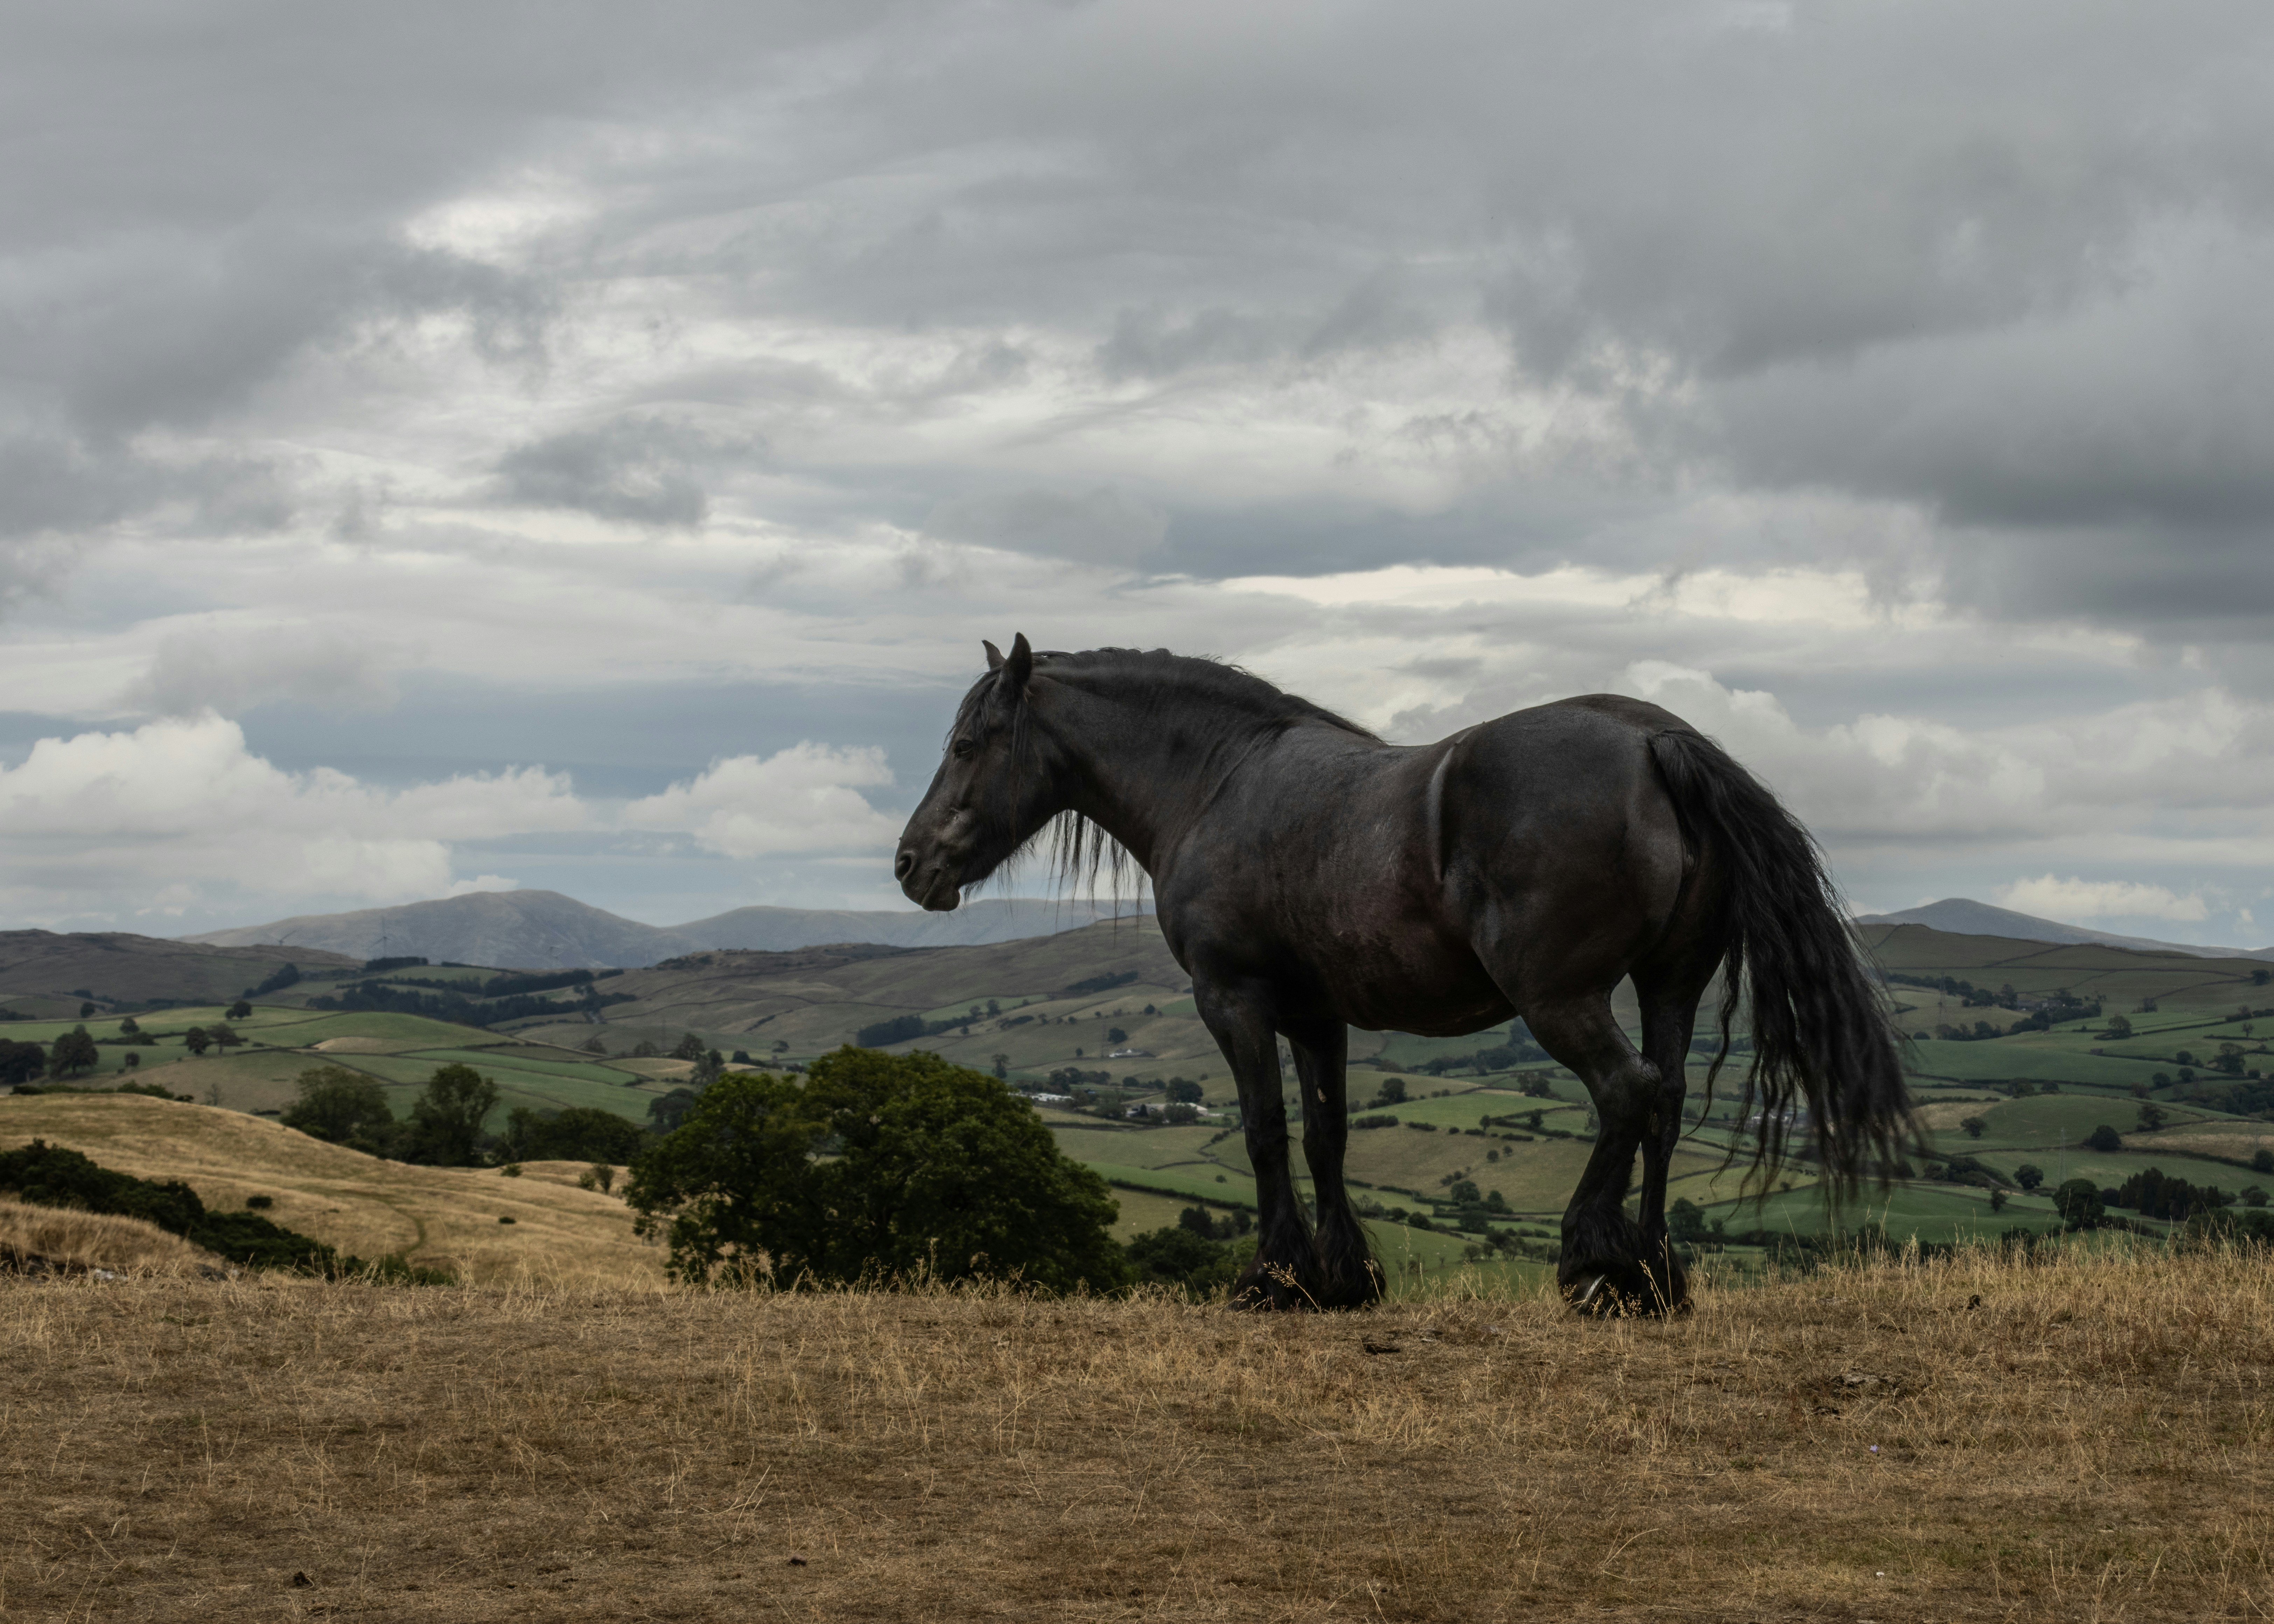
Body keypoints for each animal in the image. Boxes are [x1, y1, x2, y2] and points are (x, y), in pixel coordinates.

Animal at [893, 636, 1910, 1312]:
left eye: (968, 746)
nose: (910, 865)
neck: (1216, 783)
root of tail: (1656, 741)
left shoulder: (1233, 1000)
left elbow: (1264, 1133)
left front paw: (1273, 1277)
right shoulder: (1316, 1015)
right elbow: (1325, 1136)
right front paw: (1344, 1277)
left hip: (1561, 997)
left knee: (1626, 1092)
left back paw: (1593, 1262)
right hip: (1669, 986)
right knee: (1661, 1103)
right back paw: (1652, 1276)